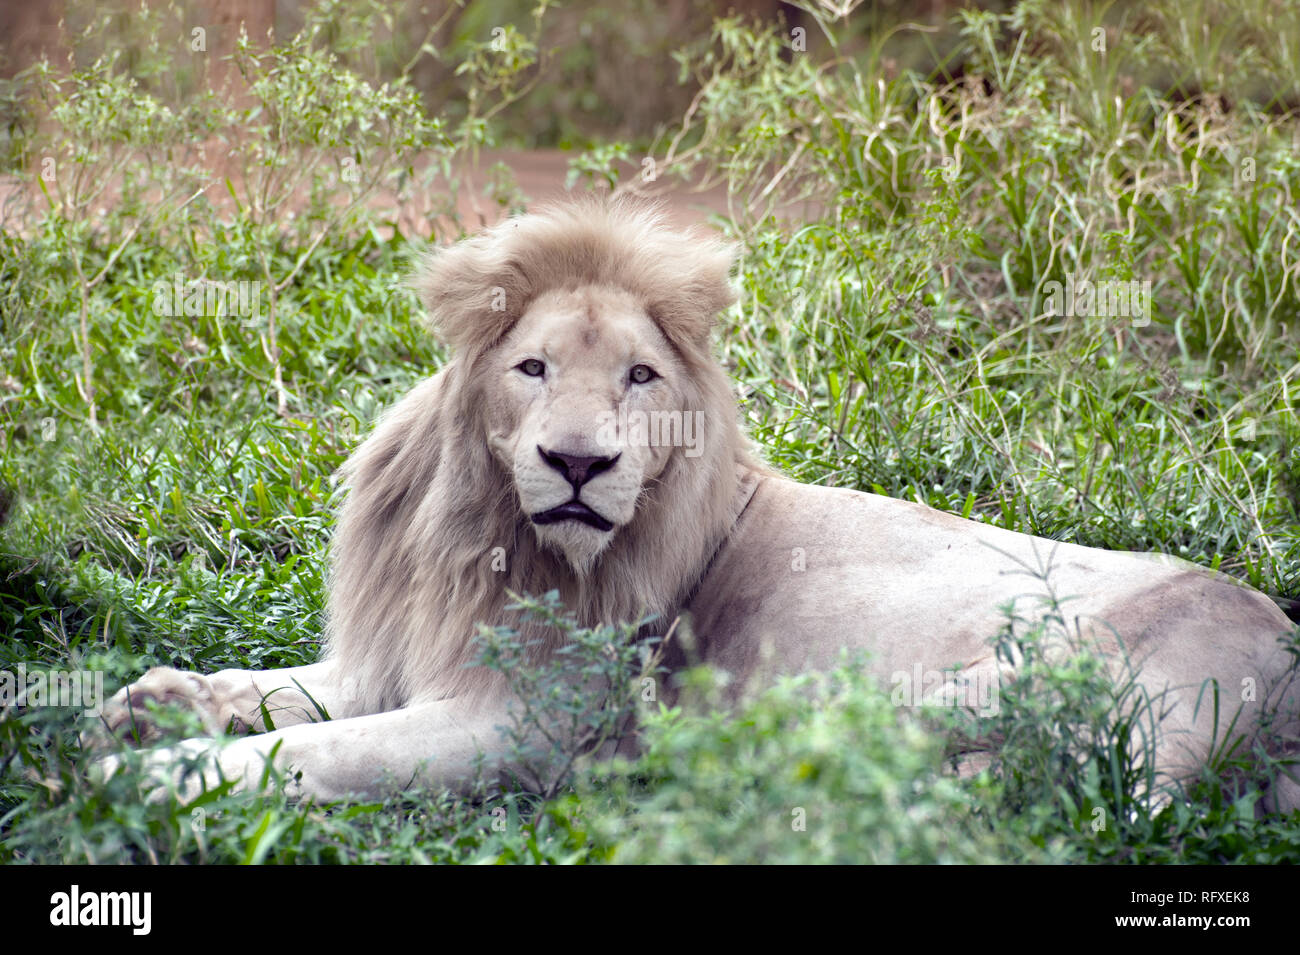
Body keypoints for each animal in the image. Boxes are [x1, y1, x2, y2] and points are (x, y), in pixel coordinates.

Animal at [100, 197, 1300, 810]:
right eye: (532, 367)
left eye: (640, 376)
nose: (577, 464)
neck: (486, 538)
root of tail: (1277, 649)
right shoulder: (397, 658)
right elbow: (282, 692)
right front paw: (152, 703)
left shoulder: (524, 722)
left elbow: (322, 751)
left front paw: (146, 773)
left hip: (987, 681)